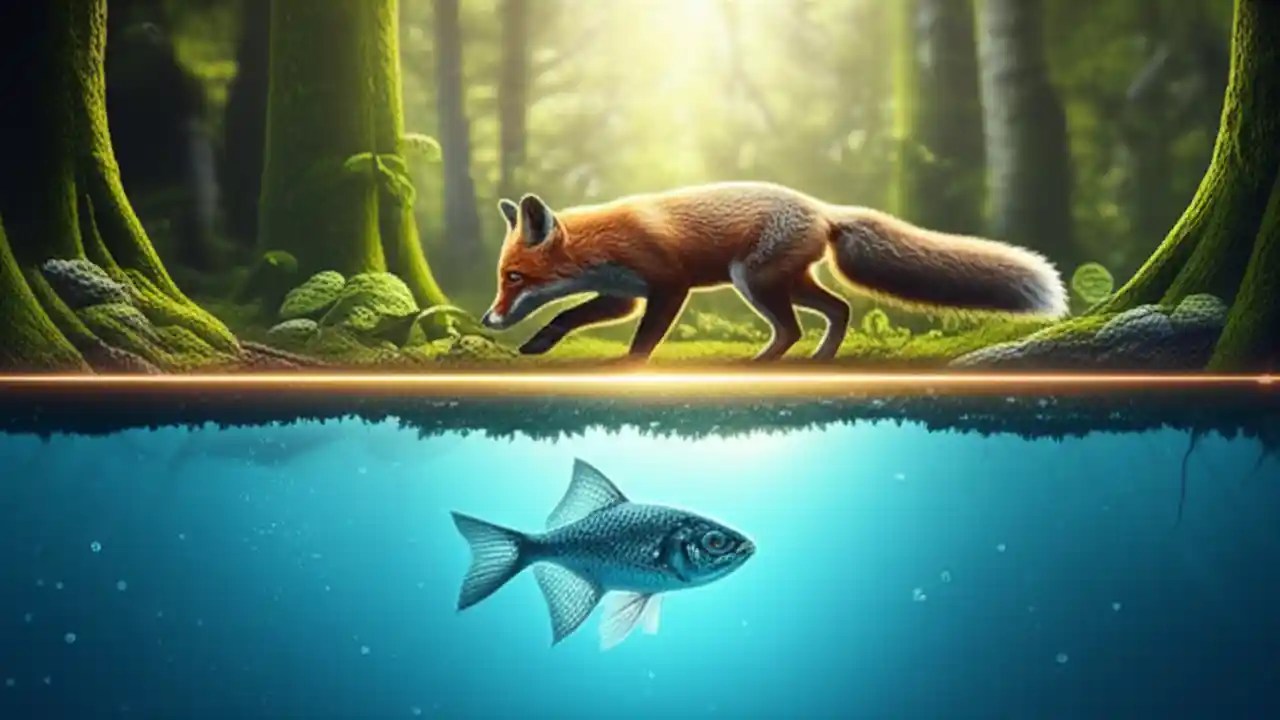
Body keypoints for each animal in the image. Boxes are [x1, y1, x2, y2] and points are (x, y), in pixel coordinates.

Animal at [480, 181, 1067, 362]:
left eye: (514, 278)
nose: (488, 319)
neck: (604, 241)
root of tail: (823, 208)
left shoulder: (668, 285)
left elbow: (645, 337)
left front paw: (630, 367)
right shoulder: (623, 293)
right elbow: (569, 316)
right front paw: (538, 343)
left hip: (755, 282)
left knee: (792, 328)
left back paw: (758, 363)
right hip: (785, 283)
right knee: (837, 310)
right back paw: (821, 360)